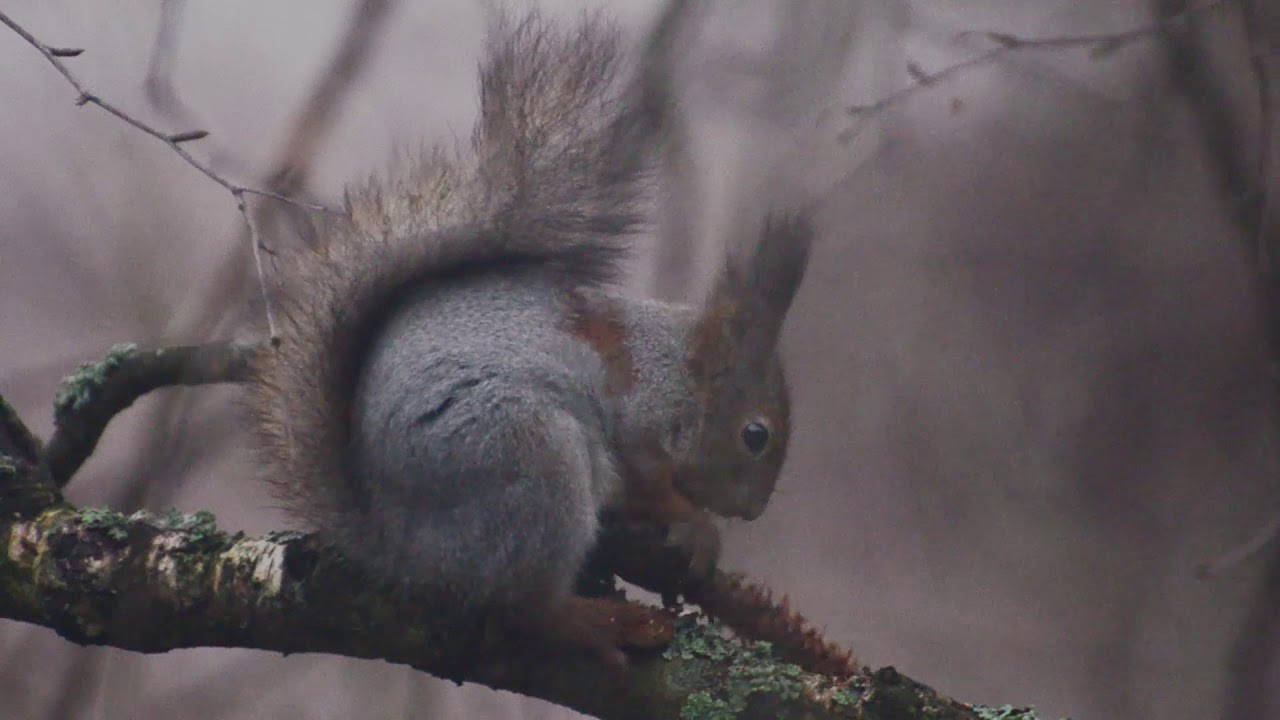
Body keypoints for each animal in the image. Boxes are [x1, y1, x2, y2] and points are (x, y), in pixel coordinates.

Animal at [246, 11, 813, 667]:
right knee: (525, 606)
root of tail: (405, 549)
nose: (753, 510)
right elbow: (646, 482)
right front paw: (697, 526)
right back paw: (596, 623)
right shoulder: (640, 418)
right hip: (533, 461)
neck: (678, 368)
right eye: (756, 435)